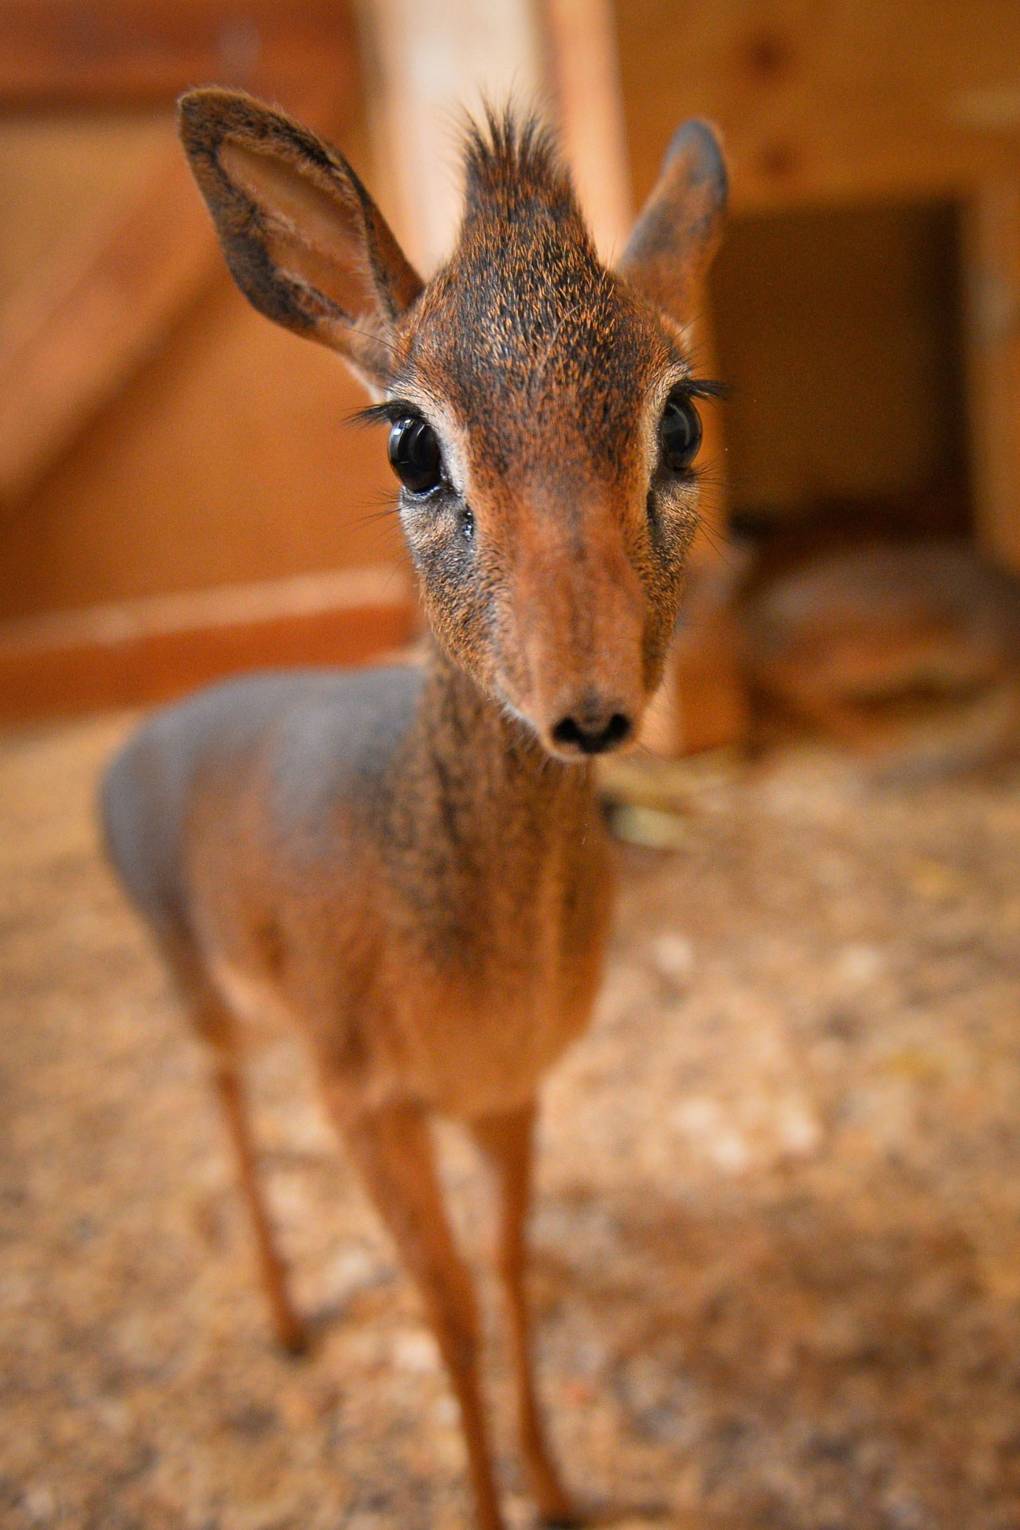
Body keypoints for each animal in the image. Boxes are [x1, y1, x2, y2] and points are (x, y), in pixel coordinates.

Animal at [101, 88, 727, 1530]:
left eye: (680, 419)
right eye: (408, 439)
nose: (588, 702)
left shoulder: (507, 1088)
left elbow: (508, 1276)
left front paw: (557, 1489)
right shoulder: (367, 1099)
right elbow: (445, 1311)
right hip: (203, 991)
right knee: (224, 1110)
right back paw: (283, 1318)